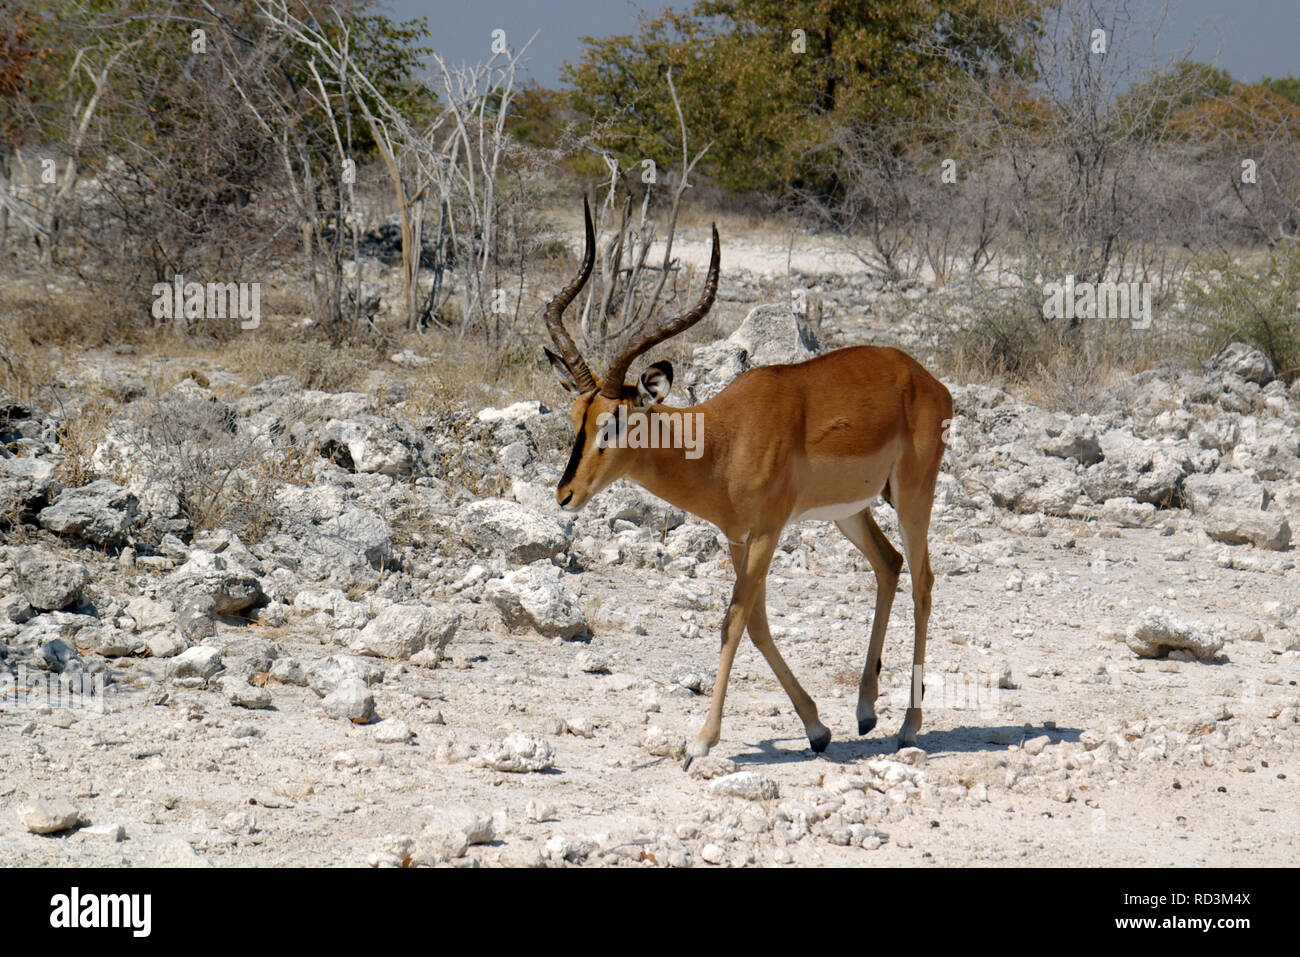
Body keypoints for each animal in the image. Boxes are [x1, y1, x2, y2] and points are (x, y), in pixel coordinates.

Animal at [543, 199, 953, 767]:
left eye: (614, 423)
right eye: (575, 417)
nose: (566, 495)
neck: (722, 441)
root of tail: (929, 381)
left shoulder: (766, 533)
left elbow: (733, 620)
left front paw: (701, 741)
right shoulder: (737, 538)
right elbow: (755, 622)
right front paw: (817, 729)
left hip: (914, 495)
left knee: (923, 581)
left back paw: (910, 726)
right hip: (852, 510)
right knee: (889, 565)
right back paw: (865, 713)